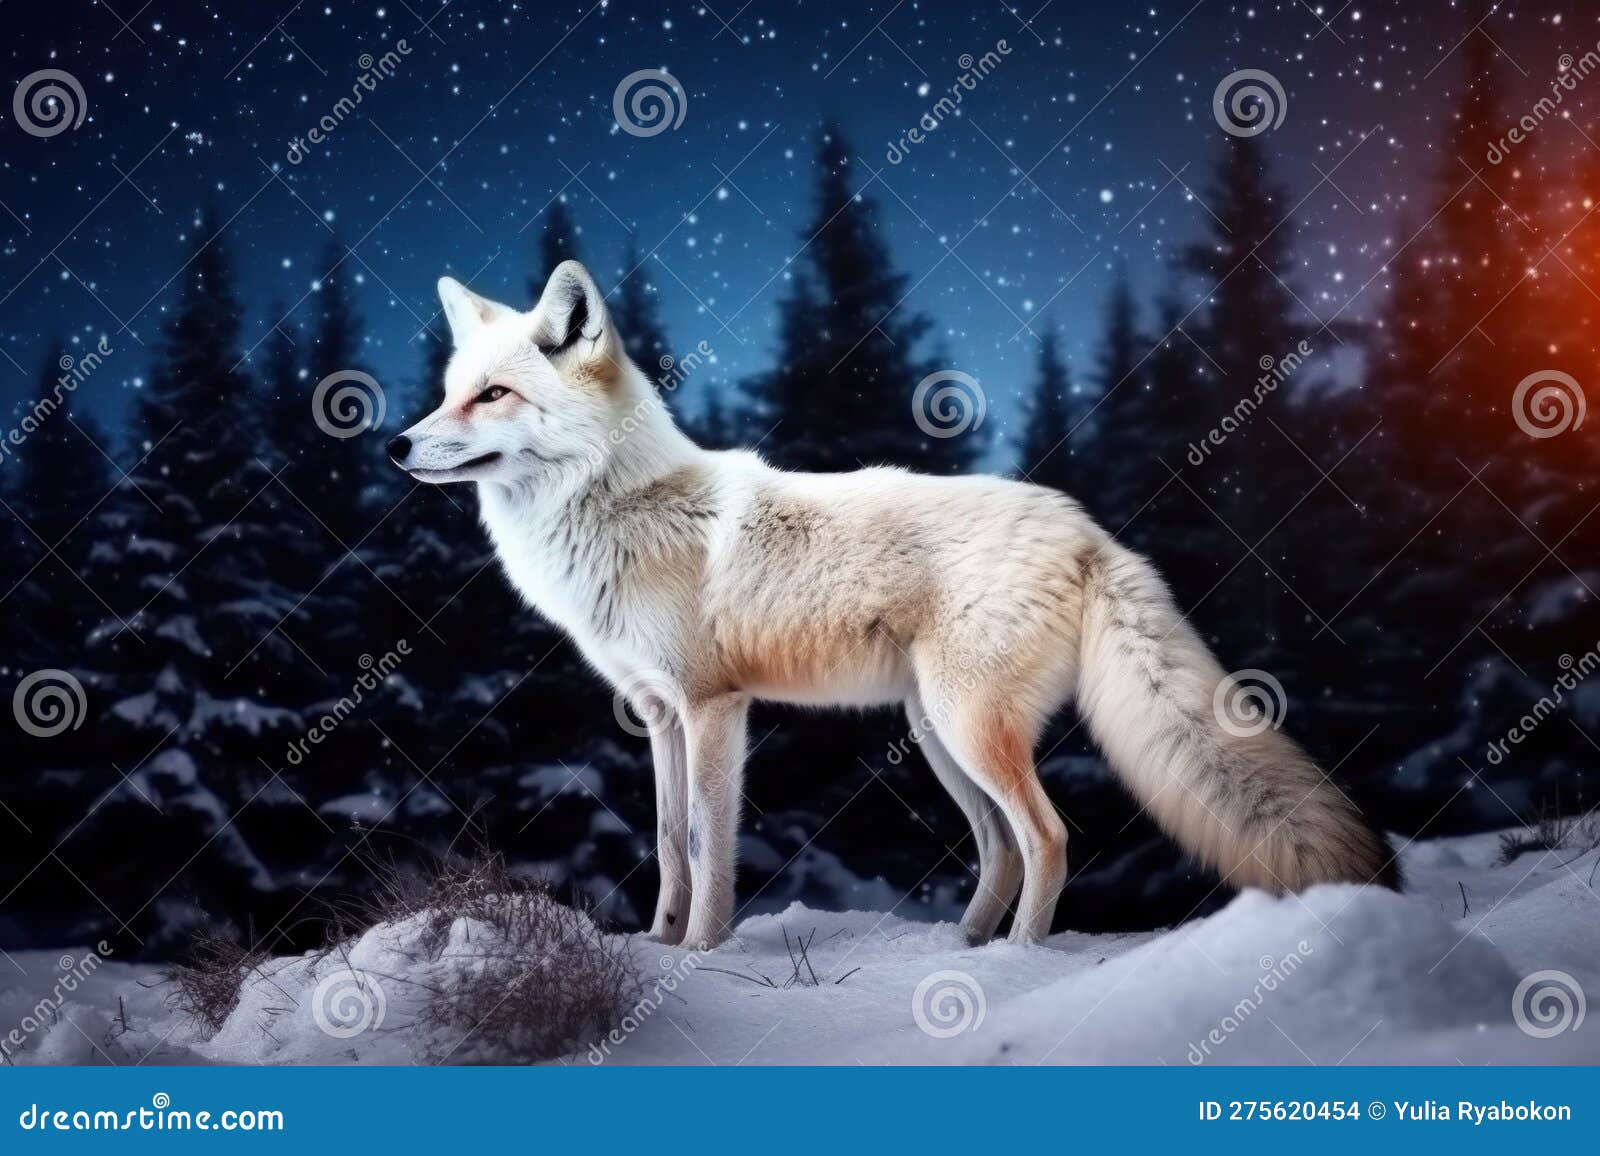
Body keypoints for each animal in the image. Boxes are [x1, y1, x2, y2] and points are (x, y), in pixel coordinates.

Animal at [388, 259, 1395, 950]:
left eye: (493, 395)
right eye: (448, 393)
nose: (396, 444)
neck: (621, 510)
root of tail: (1085, 529)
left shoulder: (716, 710)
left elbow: (710, 851)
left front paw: (701, 956)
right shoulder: (657, 713)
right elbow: (671, 846)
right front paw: (659, 946)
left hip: (967, 726)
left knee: (1049, 838)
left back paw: (1017, 961)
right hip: (938, 734)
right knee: (1000, 848)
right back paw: (963, 953)